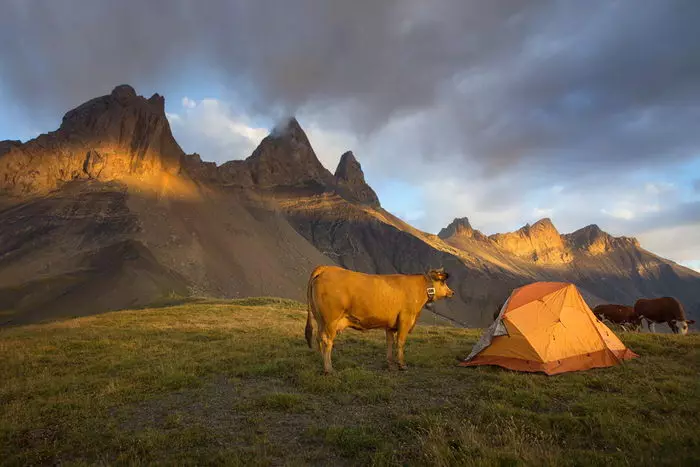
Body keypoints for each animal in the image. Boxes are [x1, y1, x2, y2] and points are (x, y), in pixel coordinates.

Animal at [306, 266, 454, 372]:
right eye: (442, 281)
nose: (452, 292)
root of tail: (326, 268)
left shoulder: (390, 325)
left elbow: (389, 342)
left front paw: (390, 364)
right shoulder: (405, 319)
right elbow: (400, 342)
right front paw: (401, 364)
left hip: (320, 319)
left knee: (319, 338)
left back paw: (321, 361)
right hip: (331, 320)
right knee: (327, 341)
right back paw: (329, 368)